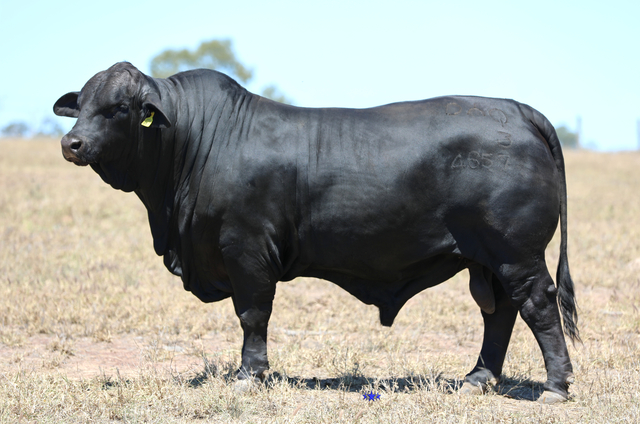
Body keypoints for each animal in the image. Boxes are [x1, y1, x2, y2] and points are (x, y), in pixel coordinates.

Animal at [54, 62, 579, 403]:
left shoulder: (246, 249)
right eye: (81, 105)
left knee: (536, 304)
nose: (71, 143)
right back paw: (477, 378)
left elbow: (252, 315)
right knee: (500, 312)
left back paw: (555, 386)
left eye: (119, 108)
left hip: (516, 253)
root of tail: (517, 110)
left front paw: (250, 374)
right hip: (485, 259)